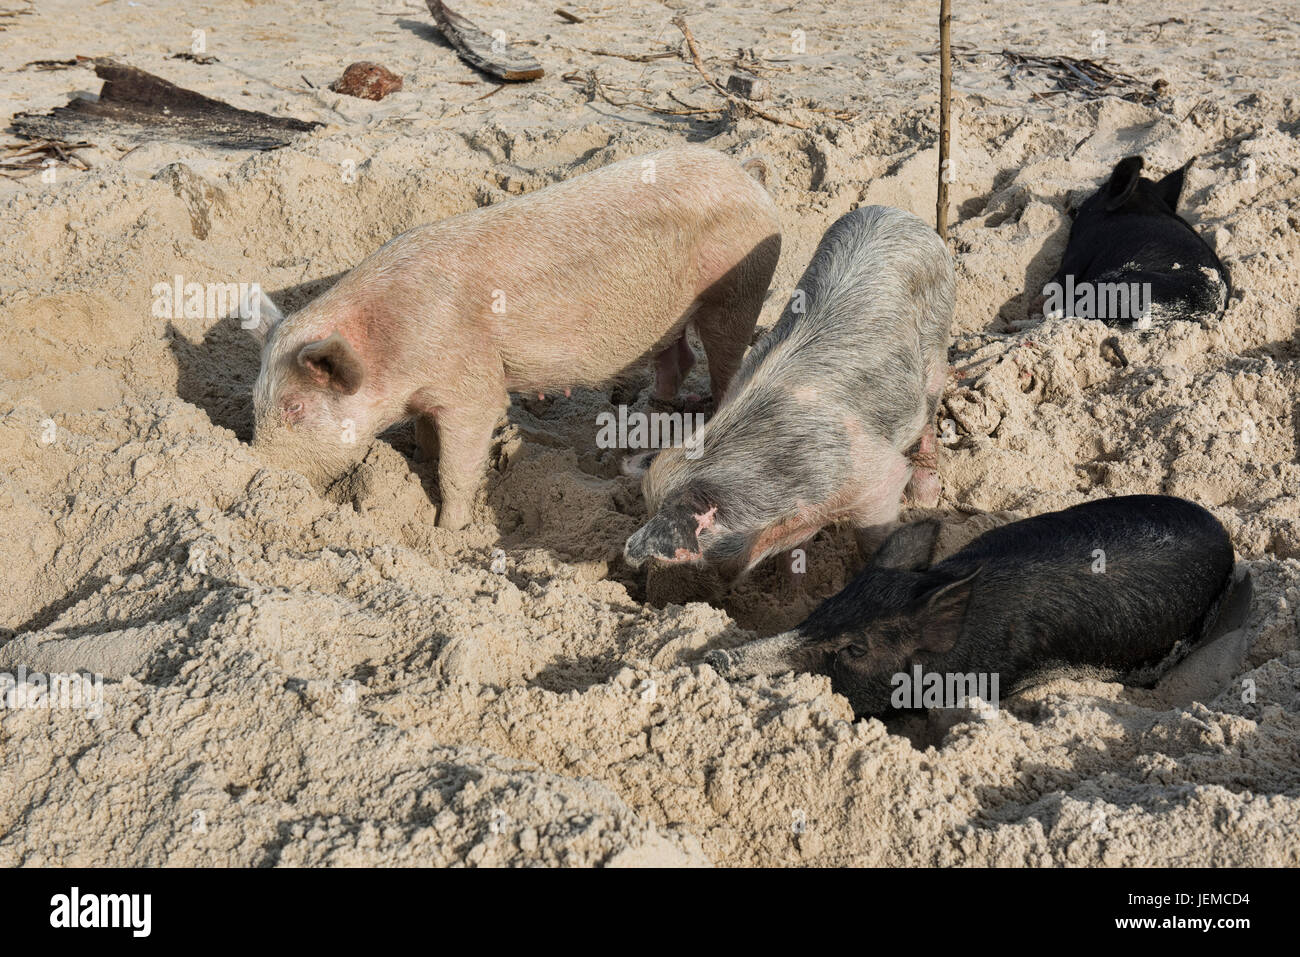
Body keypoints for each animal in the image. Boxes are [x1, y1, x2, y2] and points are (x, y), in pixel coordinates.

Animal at [243, 145, 780, 530]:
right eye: (255, 400)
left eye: (294, 408)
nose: (260, 469)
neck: (389, 348)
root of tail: (745, 173)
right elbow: (426, 442)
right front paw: (419, 461)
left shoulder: (471, 389)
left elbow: (458, 467)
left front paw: (448, 533)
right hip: (670, 317)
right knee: (678, 356)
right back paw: (658, 405)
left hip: (740, 290)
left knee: (728, 360)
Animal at [623, 205, 955, 578]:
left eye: (698, 560)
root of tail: (894, 213)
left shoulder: (875, 478)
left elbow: (874, 530)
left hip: (938, 337)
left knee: (929, 414)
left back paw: (925, 495)